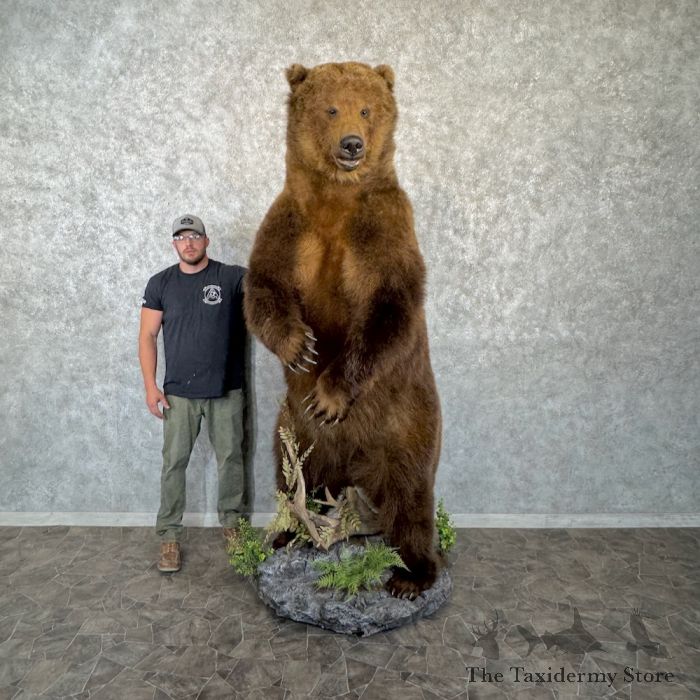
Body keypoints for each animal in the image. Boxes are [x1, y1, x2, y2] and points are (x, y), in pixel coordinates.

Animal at [244, 62, 442, 598]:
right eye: (331, 108)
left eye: (367, 109)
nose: (352, 144)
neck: (336, 199)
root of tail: (354, 465)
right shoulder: (290, 225)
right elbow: (263, 286)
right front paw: (301, 348)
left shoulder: (385, 228)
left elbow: (388, 309)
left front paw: (329, 395)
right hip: (292, 428)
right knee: (292, 475)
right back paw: (285, 535)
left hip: (407, 425)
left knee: (411, 495)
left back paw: (411, 574)